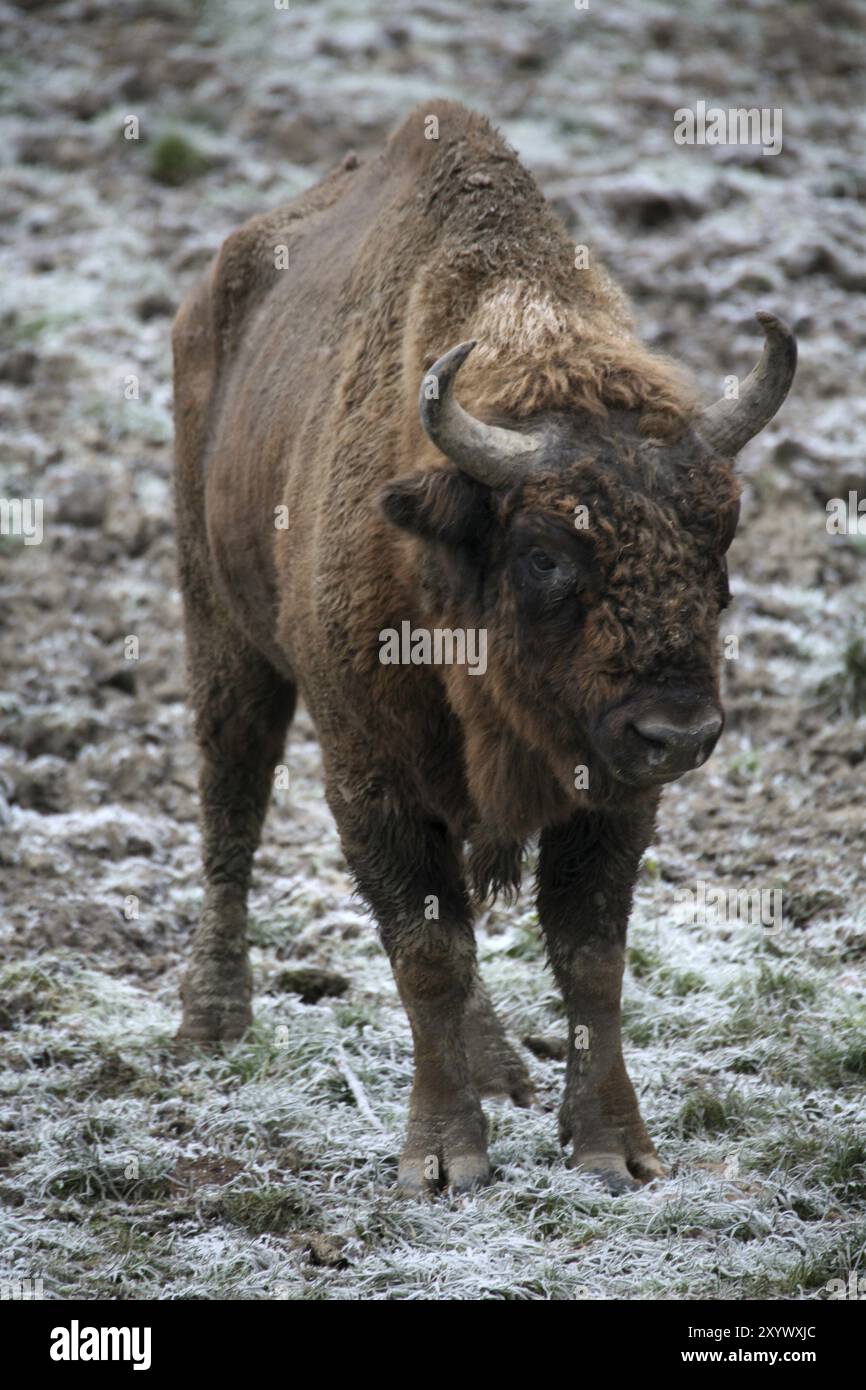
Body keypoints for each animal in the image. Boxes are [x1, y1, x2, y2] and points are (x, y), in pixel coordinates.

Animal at [171, 100, 796, 1195]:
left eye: (719, 530)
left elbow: (588, 956)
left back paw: (501, 1065)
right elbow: (428, 947)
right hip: (222, 630)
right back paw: (215, 1020)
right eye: (545, 552)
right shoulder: (369, 770)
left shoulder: (613, 791)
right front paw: (444, 1157)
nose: (679, 730)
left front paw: (614, 1147)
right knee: (231, 809)